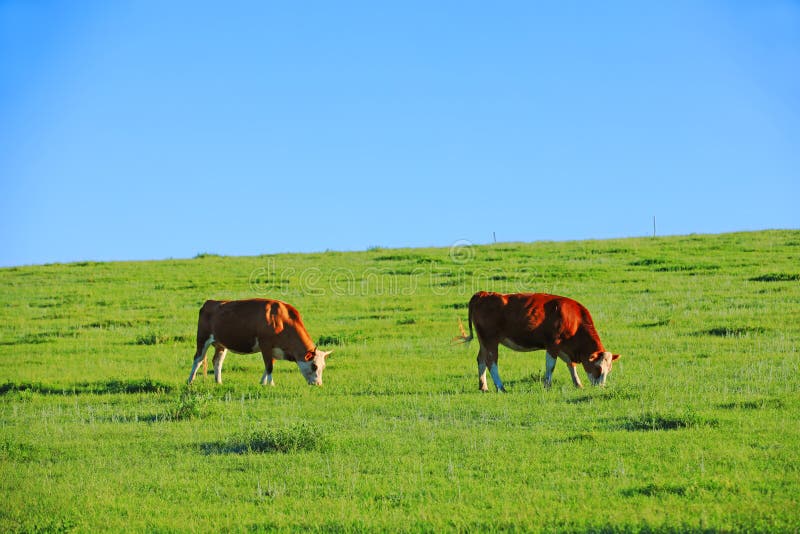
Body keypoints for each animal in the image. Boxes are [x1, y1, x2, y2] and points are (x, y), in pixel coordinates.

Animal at [187, 299, 331, 386]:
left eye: (323, 366)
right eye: (314, 366)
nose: (318, 384)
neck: (282, 321)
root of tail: (210, 302)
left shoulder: (274, 349)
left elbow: (269, 365)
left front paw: (263, 383)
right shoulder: (265, 344)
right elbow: (269, 366)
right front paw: (271, 384)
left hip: (221, 344)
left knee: (217, 361)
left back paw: (219, 382)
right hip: (202, 338)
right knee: (198, 359)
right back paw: (190, 381)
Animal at [455, 292, 620, 391]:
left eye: (609, 369)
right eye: (598, 368)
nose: (601, 387)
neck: (574, 320)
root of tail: (483, 294)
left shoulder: (565, 348)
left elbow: (571, 365)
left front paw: (578, 384)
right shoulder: (553, 344)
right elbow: (551, 366)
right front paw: (547, 385)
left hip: (483, 340)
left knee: (481, 360)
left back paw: (483, 387)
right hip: (490, 340)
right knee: (491, 361)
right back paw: (501, 387)